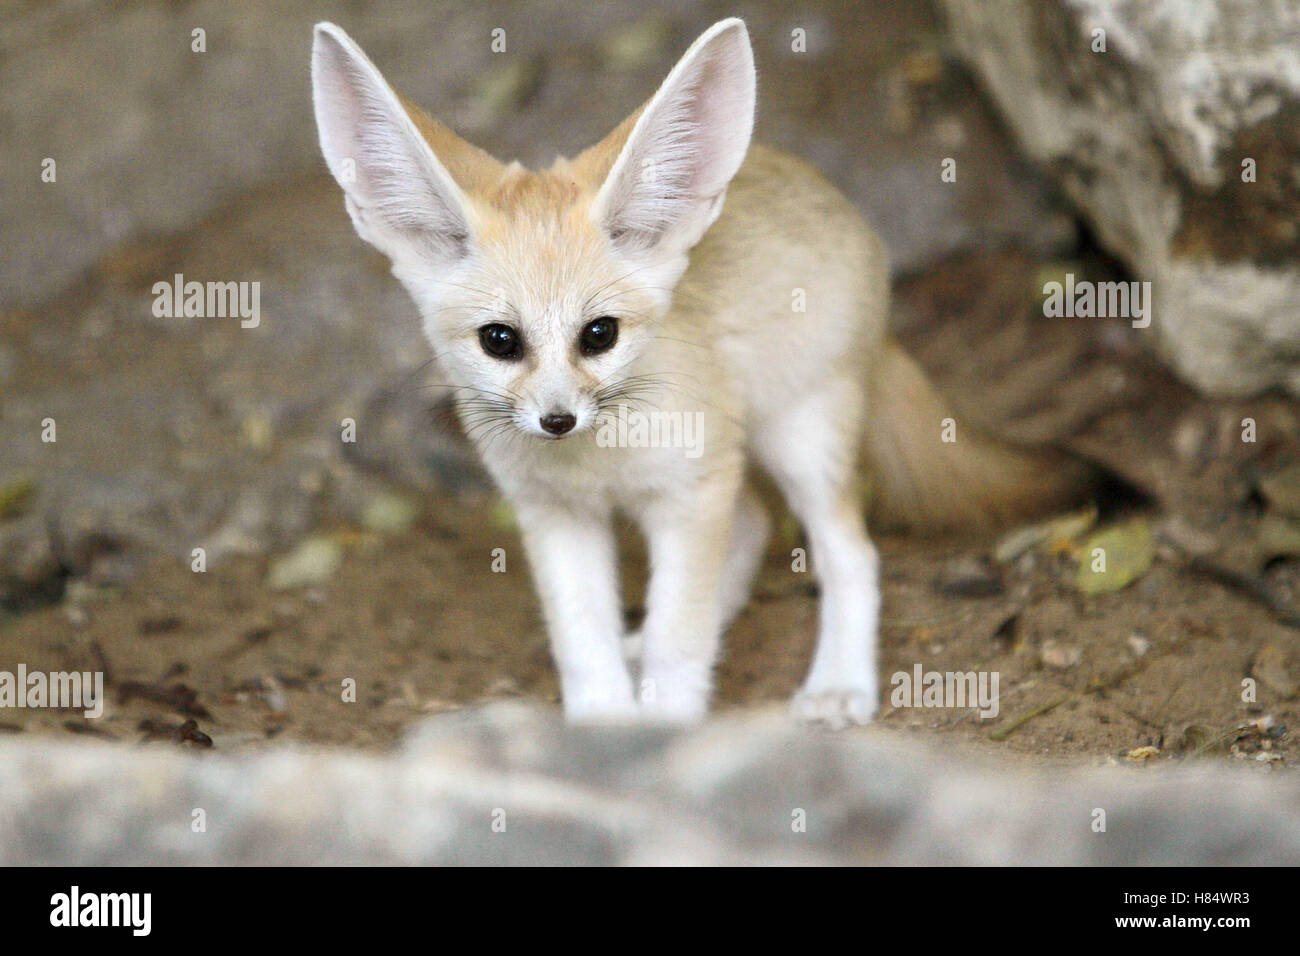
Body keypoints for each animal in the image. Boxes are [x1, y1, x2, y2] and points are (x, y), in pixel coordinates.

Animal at [311, 18, 1121, 727]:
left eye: (598, 334)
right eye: (500, 341)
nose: (557, 420)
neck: (597, 460)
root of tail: (847, 216)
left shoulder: (691, 492)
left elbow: (682, 639)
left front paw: (664, 727)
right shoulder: (553, 514)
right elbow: (585, 647)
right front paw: (603, 731)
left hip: (800, 439)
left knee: (850, 554)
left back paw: (837, 684)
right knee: (756, 526)